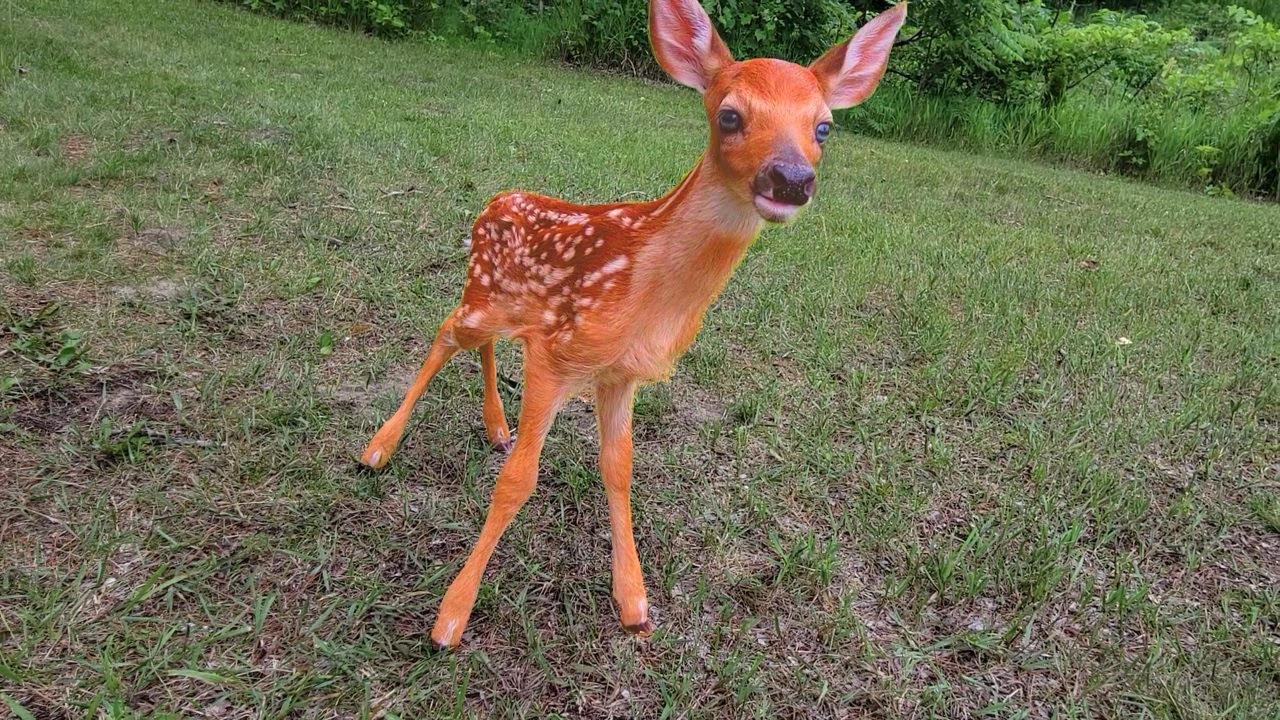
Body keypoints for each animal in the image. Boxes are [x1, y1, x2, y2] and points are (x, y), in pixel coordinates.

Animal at [358, 0, 909, 650]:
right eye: (729, 115)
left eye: (824, 128)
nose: (792, 179)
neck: (646, 291)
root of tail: (492, 202)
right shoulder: (557, 354)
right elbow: (519, 481)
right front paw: (450, 619)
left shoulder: (619, 374)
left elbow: (618, 471)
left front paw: (634, 603)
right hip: (483, 296)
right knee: (447, 331)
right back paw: (378, 448)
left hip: (507, 306)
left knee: (482, 342)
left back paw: (494, 427)